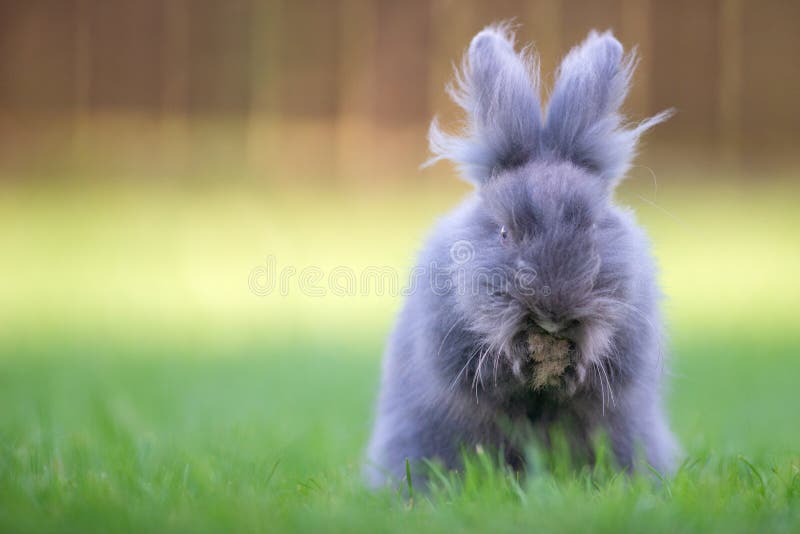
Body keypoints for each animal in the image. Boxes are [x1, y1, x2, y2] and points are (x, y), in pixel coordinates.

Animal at [365, 24, 679, 488]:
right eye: (503, 233)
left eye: (593, 226)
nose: (553, 312)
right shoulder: (451, 345)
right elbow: (483, 373)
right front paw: (523, 361)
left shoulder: (630, 344)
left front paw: (571, 369)